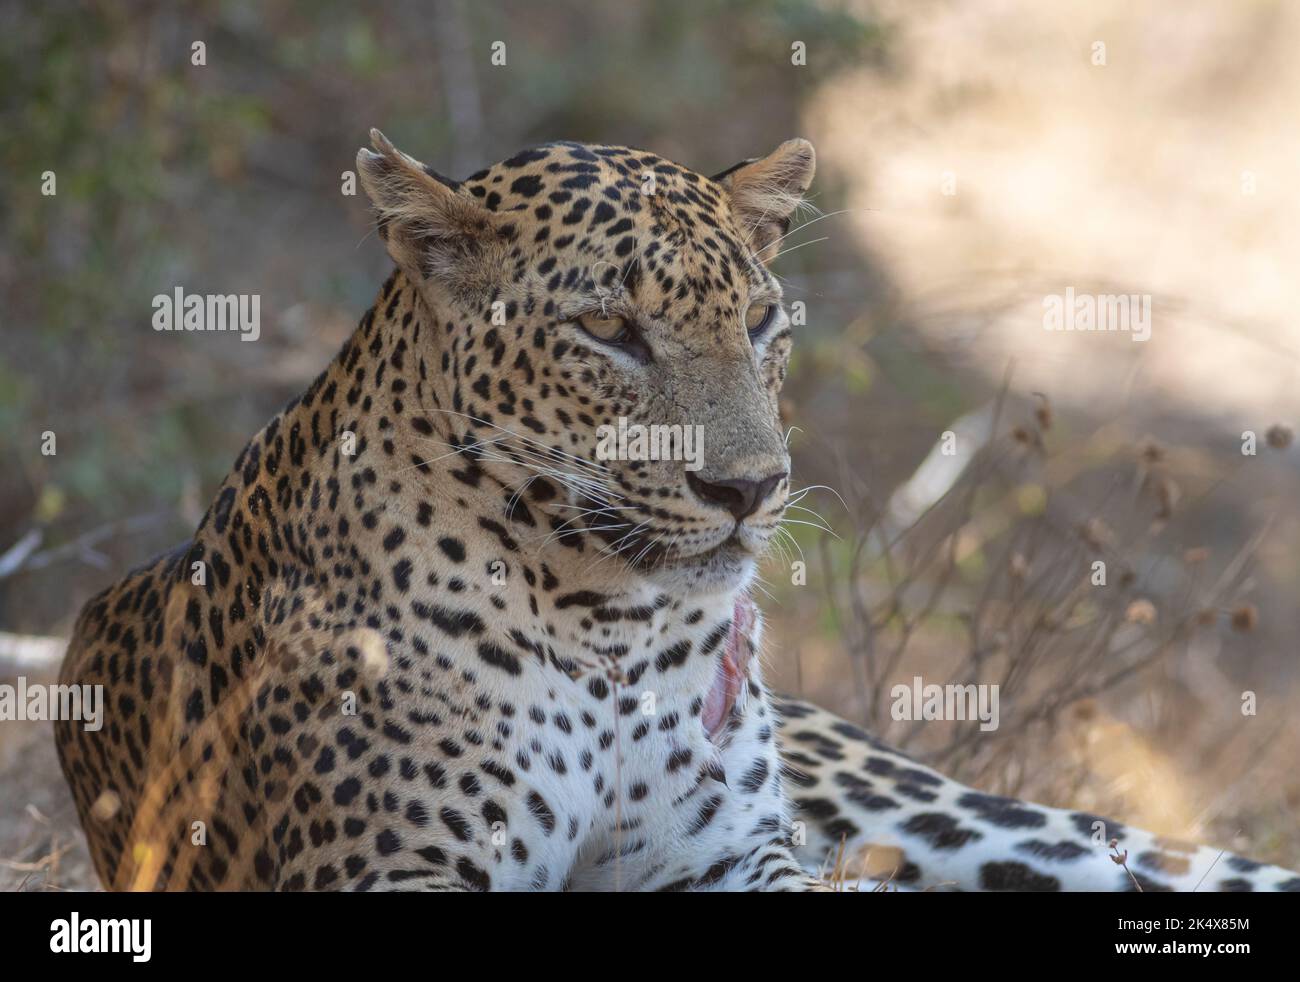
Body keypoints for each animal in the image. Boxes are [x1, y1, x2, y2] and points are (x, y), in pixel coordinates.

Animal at [55, 131, 1298, 892]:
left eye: (758, 321)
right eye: (608, 329)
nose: (748, 488)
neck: (603, 617)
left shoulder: (732, 854)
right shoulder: (392, 867)